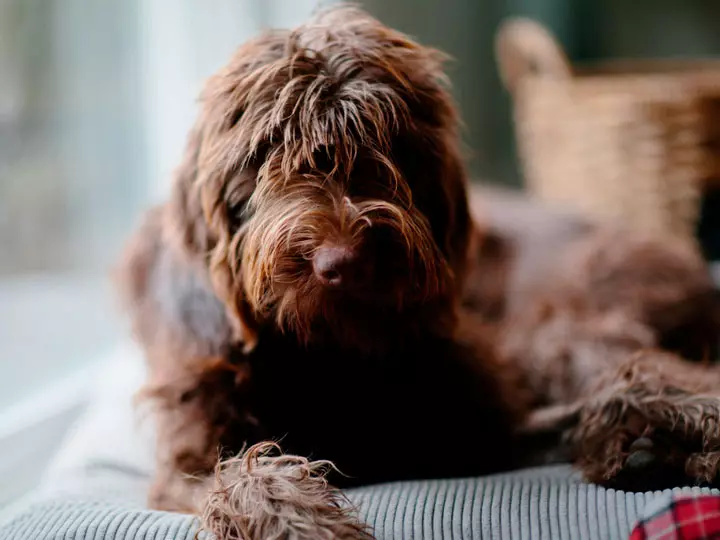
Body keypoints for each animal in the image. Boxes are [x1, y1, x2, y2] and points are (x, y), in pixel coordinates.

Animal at [116, 5, 524, 540]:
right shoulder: (189, 450)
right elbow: (238, 474)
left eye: (392, 148)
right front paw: (297, 519)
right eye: (264, 154)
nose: (344, 261)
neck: (319, 348)